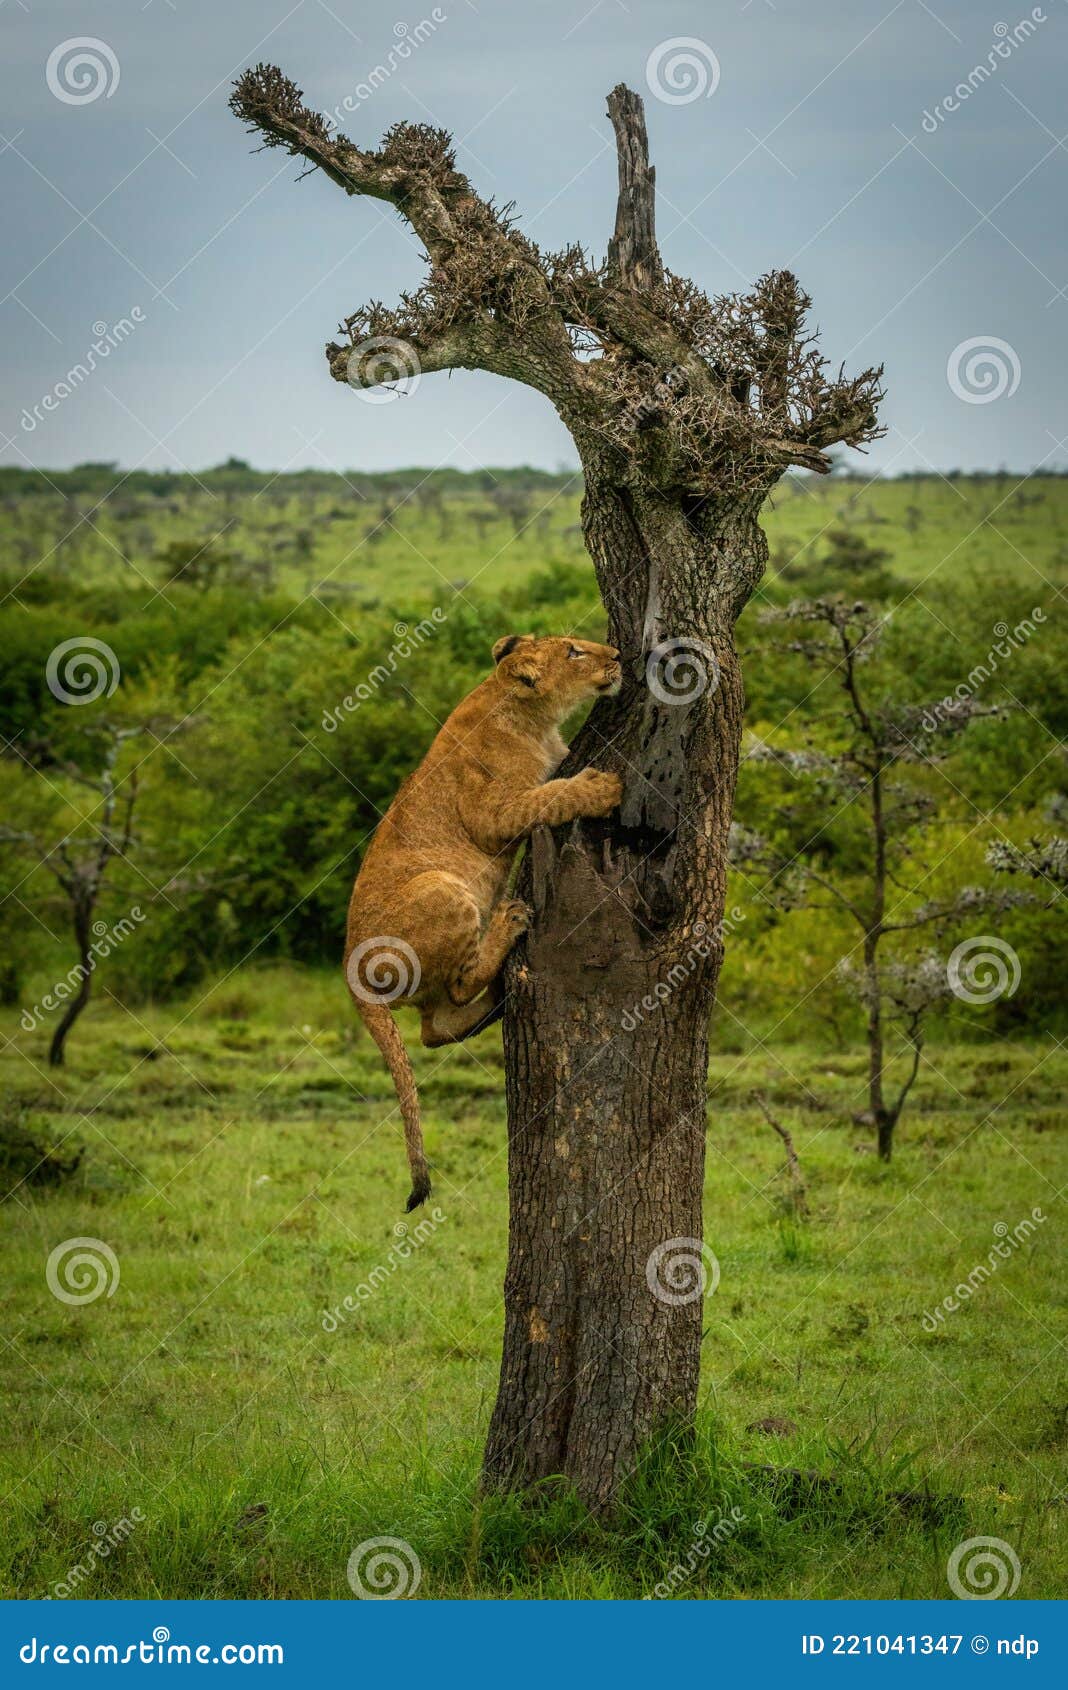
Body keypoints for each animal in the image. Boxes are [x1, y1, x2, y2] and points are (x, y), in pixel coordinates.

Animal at [344, 632, 623, 1208]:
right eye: (573, 652)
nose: (617, 656)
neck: (532, 718)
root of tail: (348, 974)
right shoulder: (494, 814)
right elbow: (552, 795)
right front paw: (605, 788)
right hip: (443, 887)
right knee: (452, 989)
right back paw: (507, 926)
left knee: (432, 1028)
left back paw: (494, 1001)